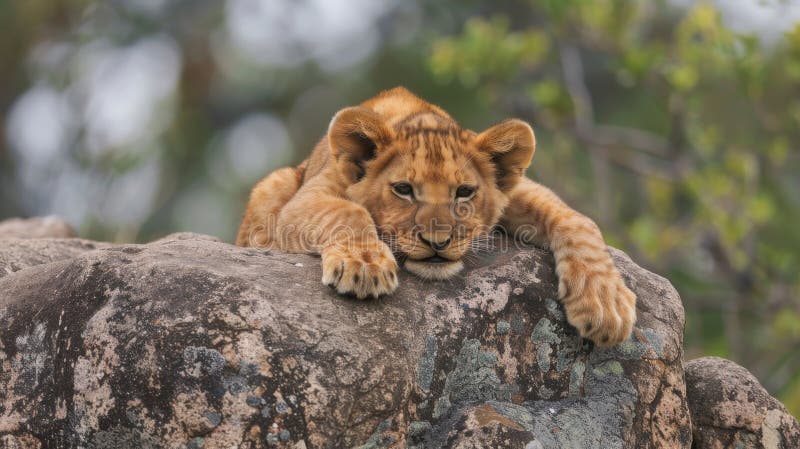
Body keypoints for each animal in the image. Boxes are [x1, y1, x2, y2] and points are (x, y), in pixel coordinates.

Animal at [236, 87, 636, 346]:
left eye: (464, 192)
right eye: (403, 189)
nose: (437, 242)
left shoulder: (516, 188)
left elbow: (578, 220)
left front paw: (606, 304)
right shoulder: (305, 200)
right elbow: (347, 211)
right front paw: (364, 265)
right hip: (276, 182)